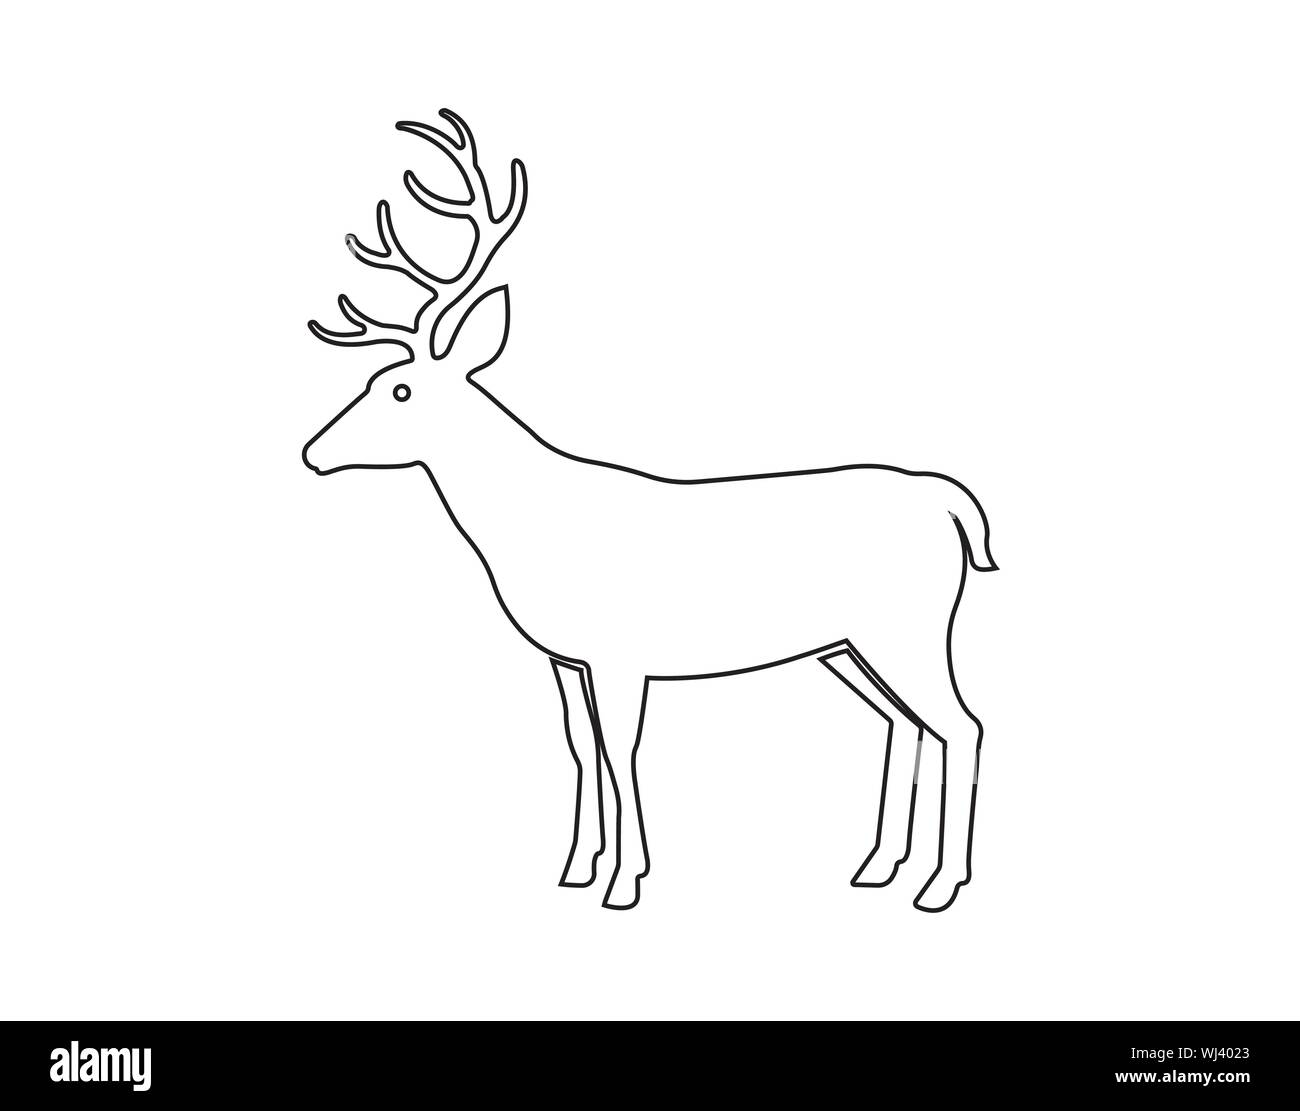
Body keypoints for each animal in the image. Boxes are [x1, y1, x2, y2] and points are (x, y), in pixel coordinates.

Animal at [302, 110, 998, 913]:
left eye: (399, 389)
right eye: (373, 381)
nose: (313, 451)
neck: (528, 525)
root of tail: (952, 503)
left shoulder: (620, 651)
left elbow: (622, 749)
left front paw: (624, 881)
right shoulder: (566, 656)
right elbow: (582, 747)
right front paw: (578, 866)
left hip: (909, 627)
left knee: (962, 724)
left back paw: (940, 884)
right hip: (847, 646)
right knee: (905, 723)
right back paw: (881, 866)